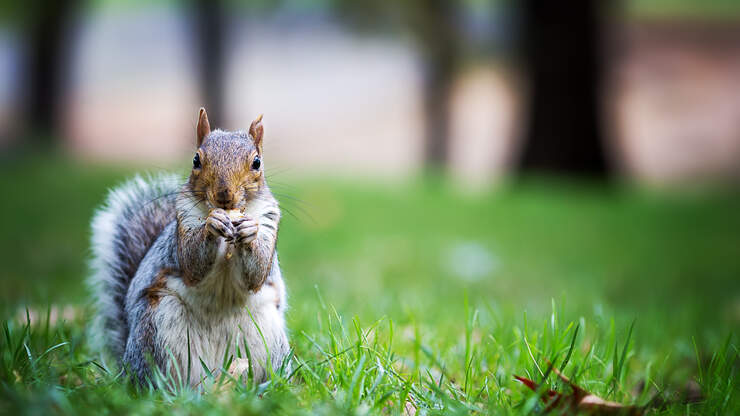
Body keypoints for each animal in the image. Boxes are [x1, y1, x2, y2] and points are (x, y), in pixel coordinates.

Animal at [88, 108, 289, 386]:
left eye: (257, 162)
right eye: (196, 160)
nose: (224, 195)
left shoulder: (269, 221)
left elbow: (257, 273)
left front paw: (249, 231)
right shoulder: (181, 228)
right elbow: (192, 262)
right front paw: (211, 225)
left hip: (268, 338)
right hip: (155, 332)